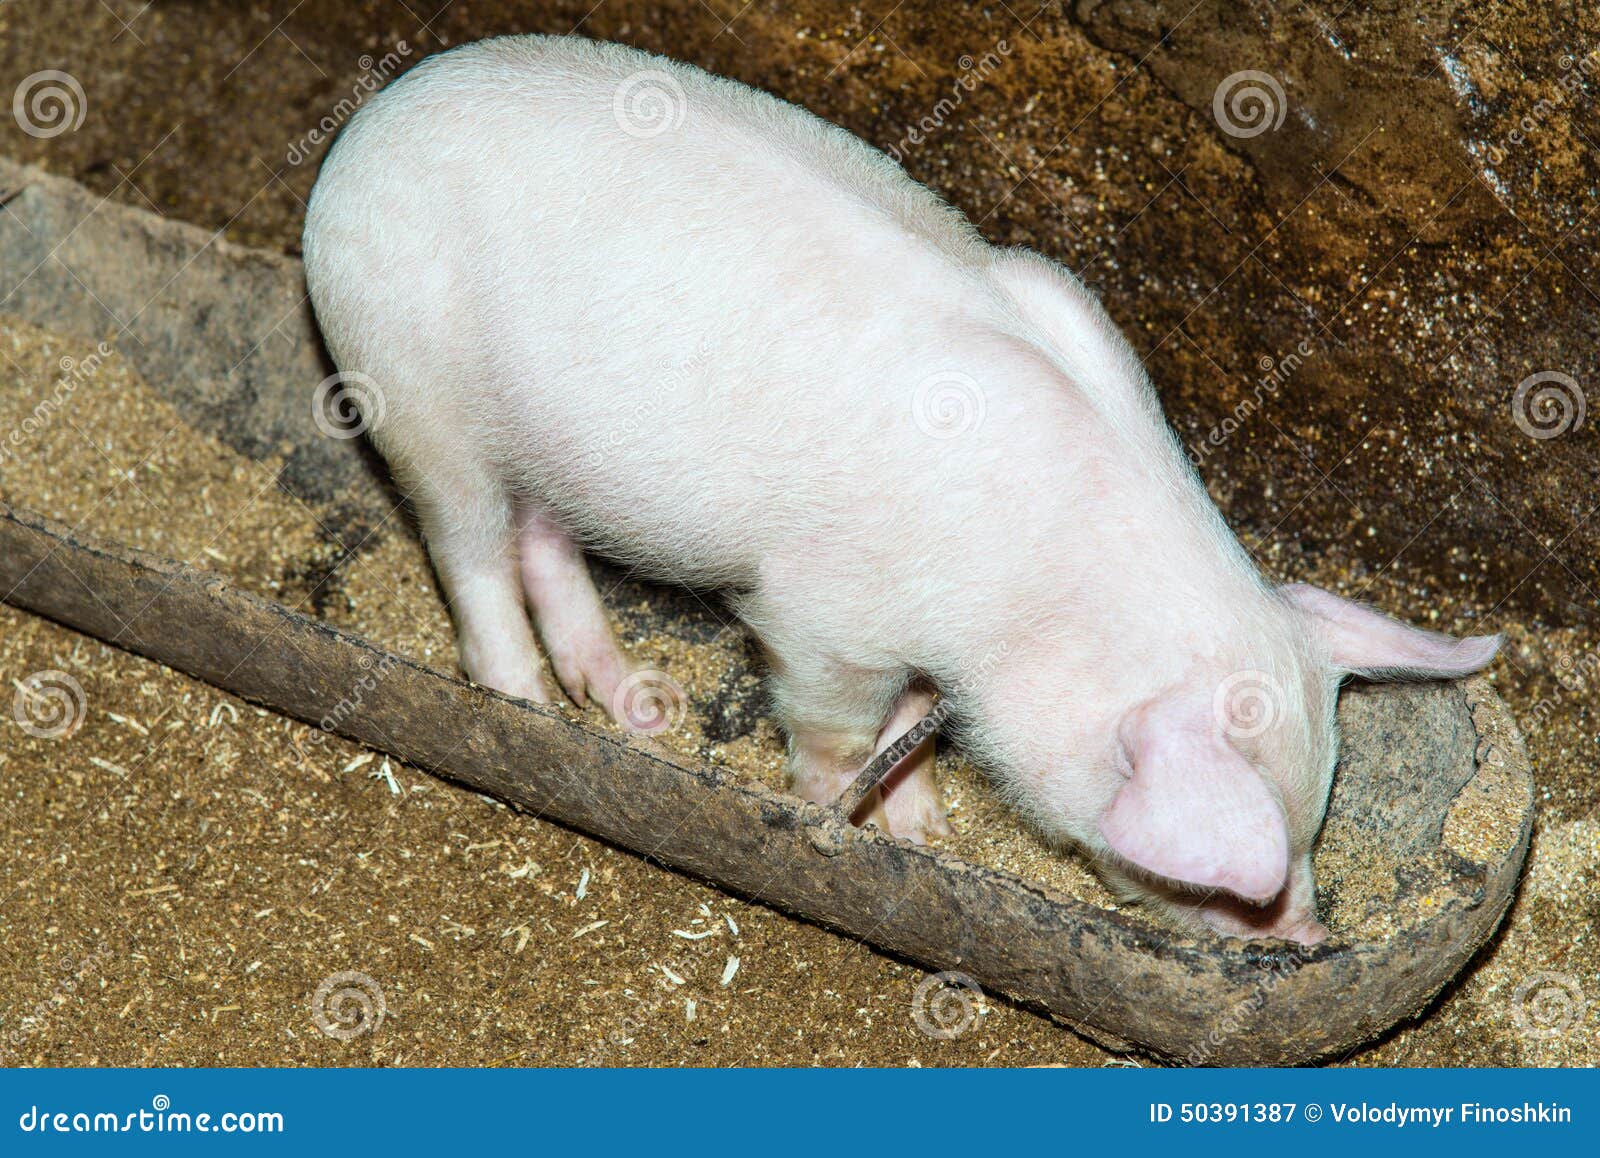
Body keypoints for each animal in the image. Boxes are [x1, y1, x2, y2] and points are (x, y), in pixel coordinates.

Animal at [301, 34, 1500, 945]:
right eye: (1226, 882)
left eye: (1318, 820)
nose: (1307, 936)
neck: (1038, 594)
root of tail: (367, 128)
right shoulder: (819, 615)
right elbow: (840, 726)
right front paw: (849, 818)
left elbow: (915, 718)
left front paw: (925, 827)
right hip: (411, 384)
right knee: (470, 552)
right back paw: (527, 709)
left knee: (543, 540)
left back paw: (640, 708)